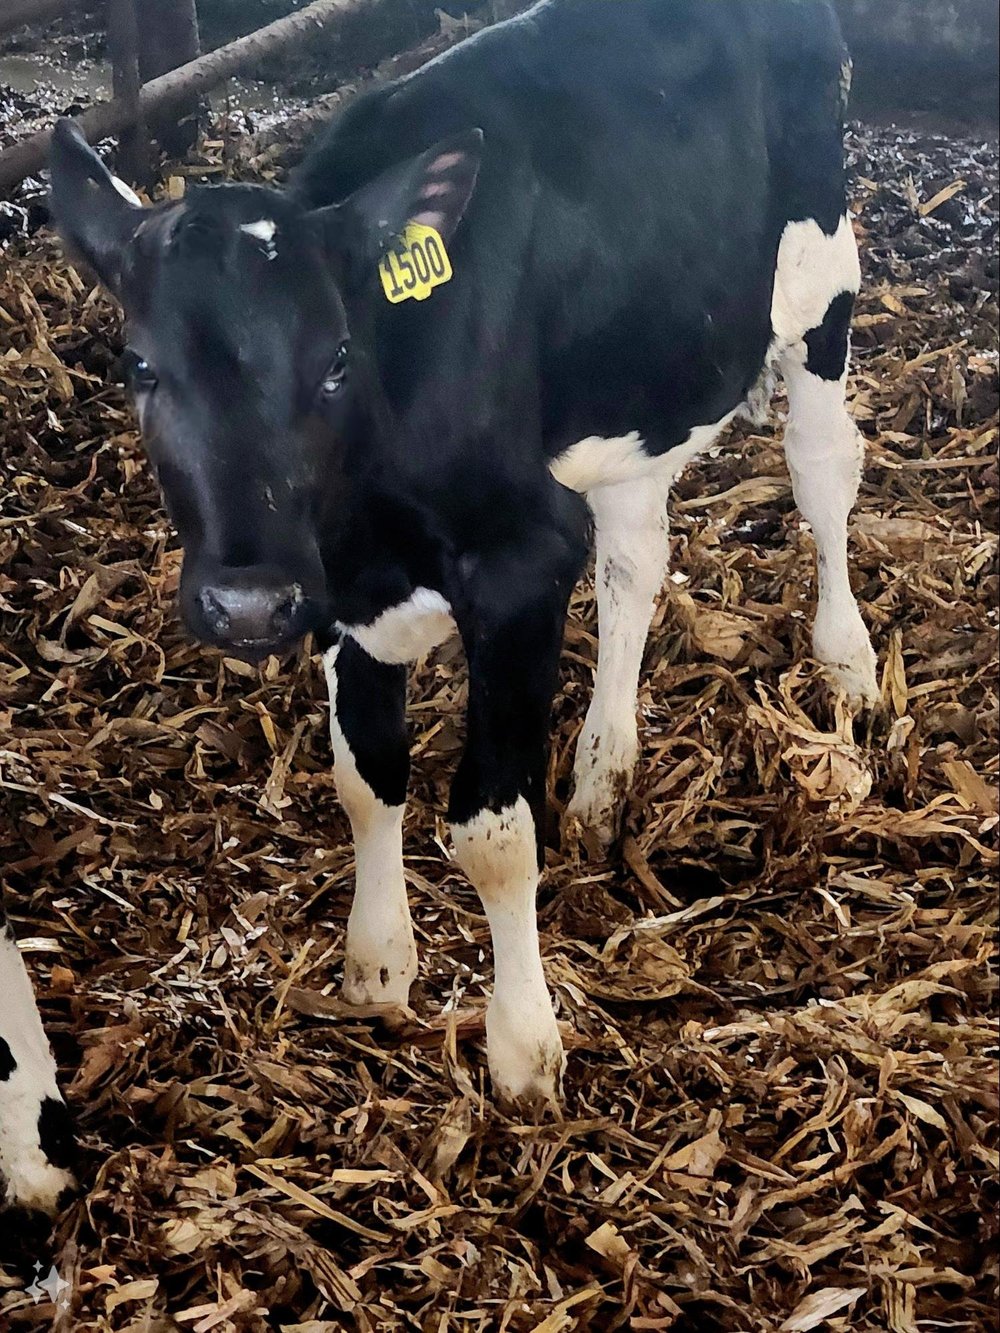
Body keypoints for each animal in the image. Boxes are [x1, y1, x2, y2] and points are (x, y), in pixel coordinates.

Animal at [3, 0, 879, 1218]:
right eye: (139, 366)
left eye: (335, 358)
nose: (244, 600)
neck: (373, 523)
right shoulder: (337, 591)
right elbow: (364, 779)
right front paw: (379, 966)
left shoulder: (517, 564)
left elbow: (490, 834)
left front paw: (524, 1049)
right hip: (635, 373)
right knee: (636, 553)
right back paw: (603, 773)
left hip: (819, 275)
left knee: (821, 467)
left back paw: (848, 671)